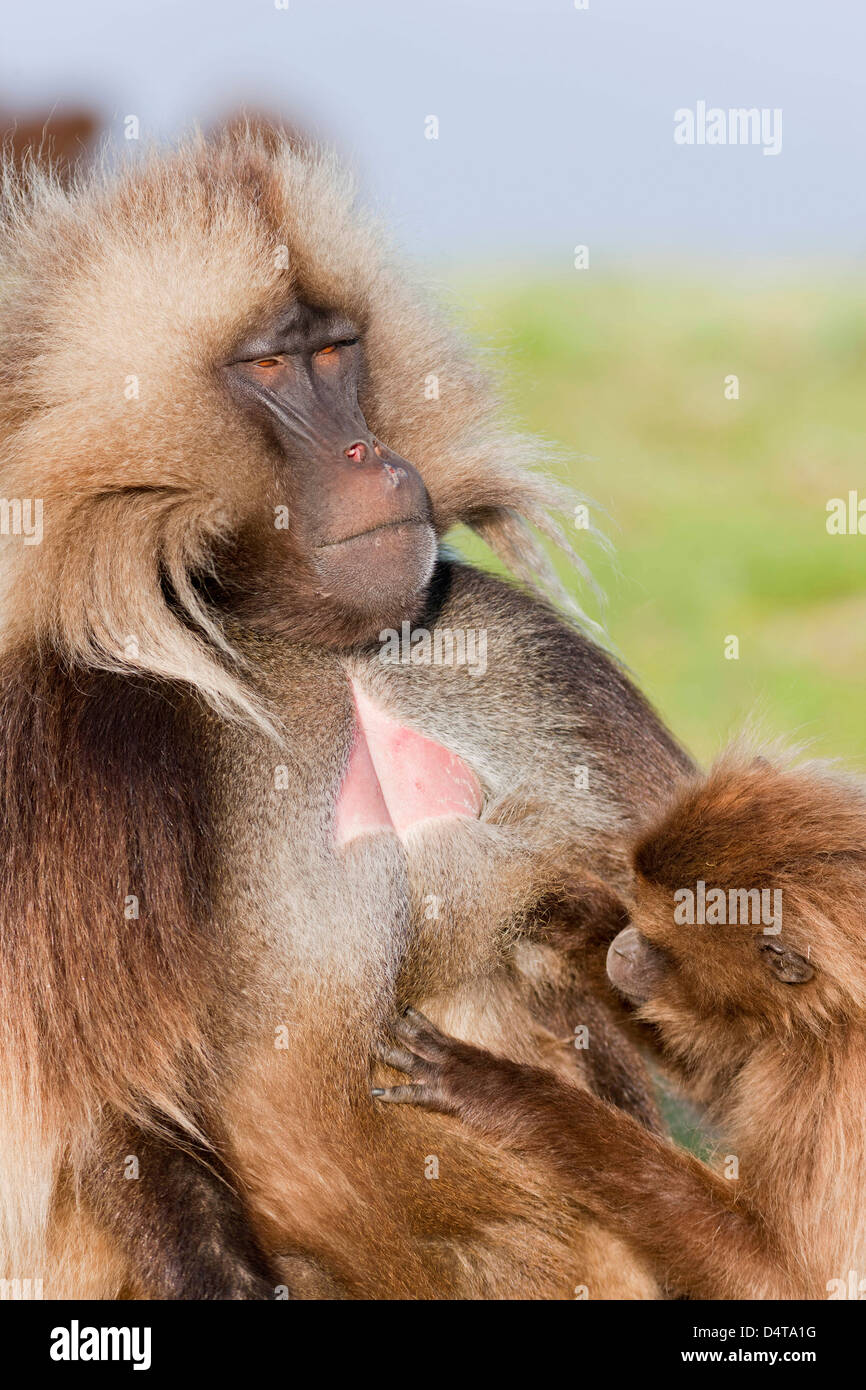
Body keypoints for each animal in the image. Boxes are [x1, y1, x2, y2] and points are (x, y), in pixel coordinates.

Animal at [0, 129, 695, 1299]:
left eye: (336, 353)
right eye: (269, 369)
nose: (369, 455)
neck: (310, 651)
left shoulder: (519, 654)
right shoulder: (73, 745)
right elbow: (111, 1115)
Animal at [373, 750, 866, 1299]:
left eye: (659, 944)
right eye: (637, 911)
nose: (623, 947)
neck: (833, 1014)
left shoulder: (832, 1085)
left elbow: (783, 1280)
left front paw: (501, 1089)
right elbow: (712, 1079)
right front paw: (570, 909)